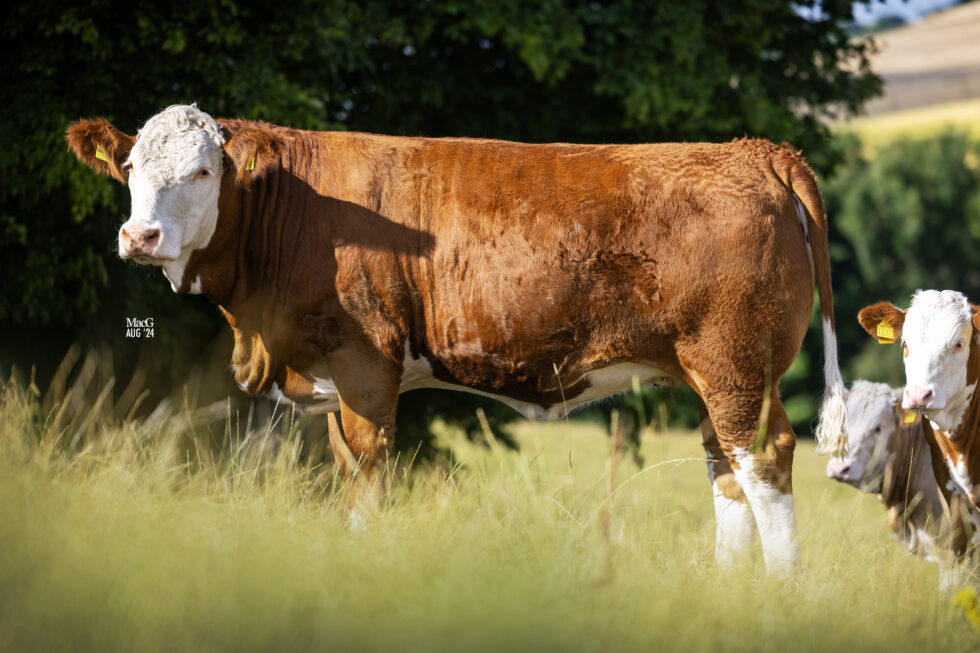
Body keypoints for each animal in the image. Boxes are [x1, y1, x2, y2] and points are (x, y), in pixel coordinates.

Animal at [66, 104, 847, 573]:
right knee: (727, 470)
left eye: (204, 170)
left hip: (733, 365)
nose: (140, 236)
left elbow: (366, 479)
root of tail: (752, 150)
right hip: (710, 374)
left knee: (765, 462)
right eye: (131, 169)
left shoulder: (364, 368)